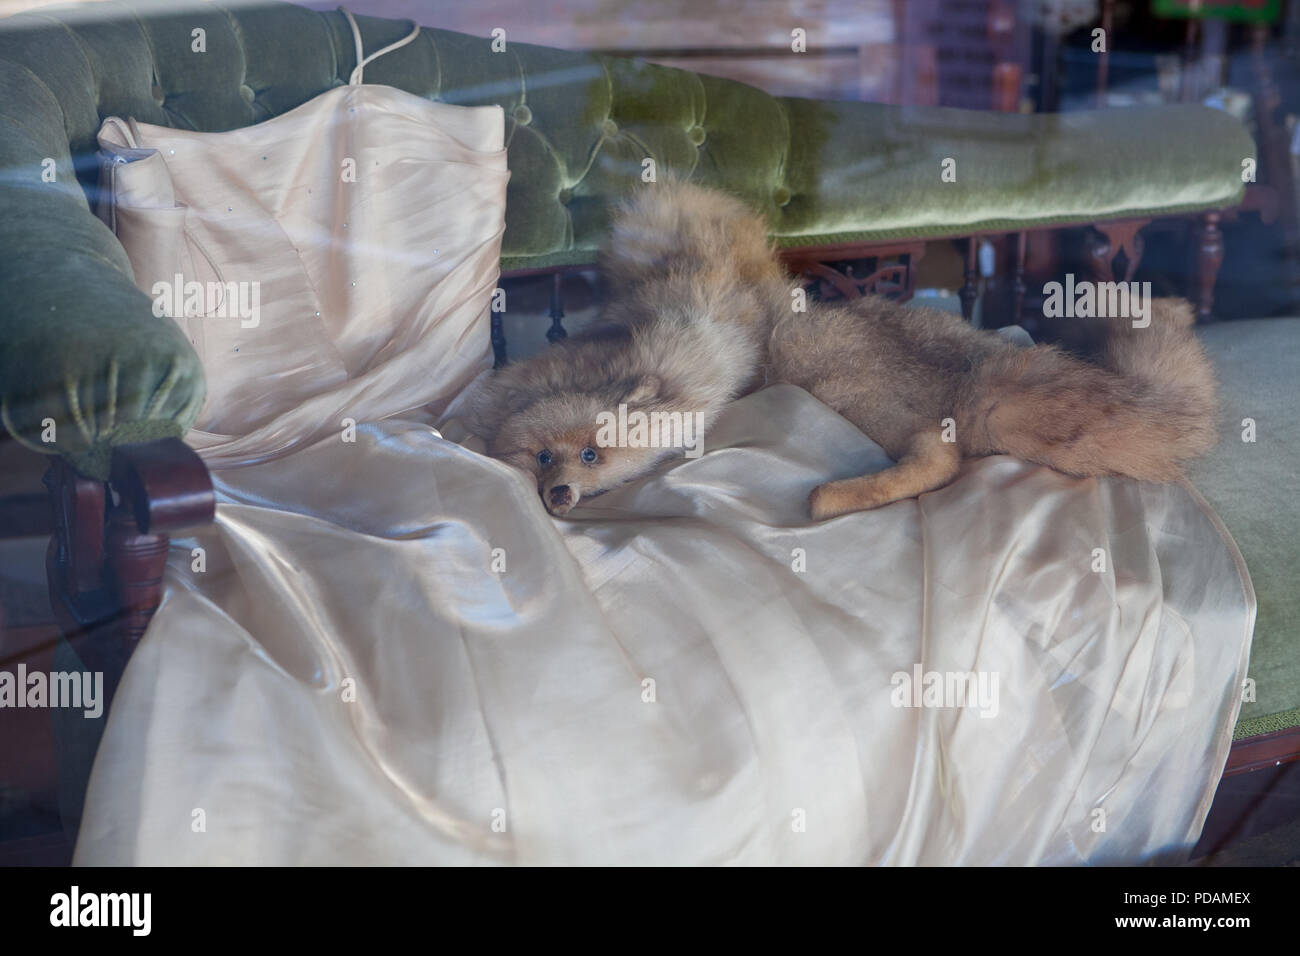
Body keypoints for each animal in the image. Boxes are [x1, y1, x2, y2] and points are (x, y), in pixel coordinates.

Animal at [472, 183, 1218, 520]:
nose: (559, 495)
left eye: (591, 456)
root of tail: (975, 371)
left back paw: (835, 496)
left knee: (939, 458)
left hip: (836, 384)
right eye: (542, 459)